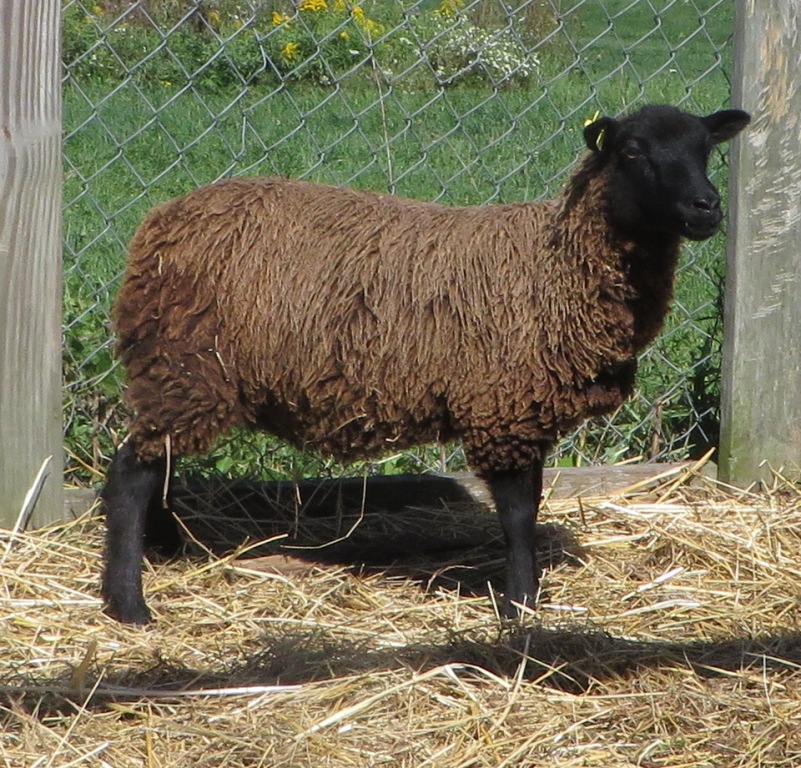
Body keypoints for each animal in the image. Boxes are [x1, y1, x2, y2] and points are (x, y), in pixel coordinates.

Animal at [101, 104, 750, 625]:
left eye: (705, 149)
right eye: (633, 151)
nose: (706, 207)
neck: (554, 263)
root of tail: (158, 222)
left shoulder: (524, 409)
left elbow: (531, 506)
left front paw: (526, 600)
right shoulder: (499, 405)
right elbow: (518, 515)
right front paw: (520, 606)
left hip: (180, 374)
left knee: (156, 466)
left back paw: (162, 552)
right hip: (187, 367)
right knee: (131, 474)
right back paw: (129, 603)